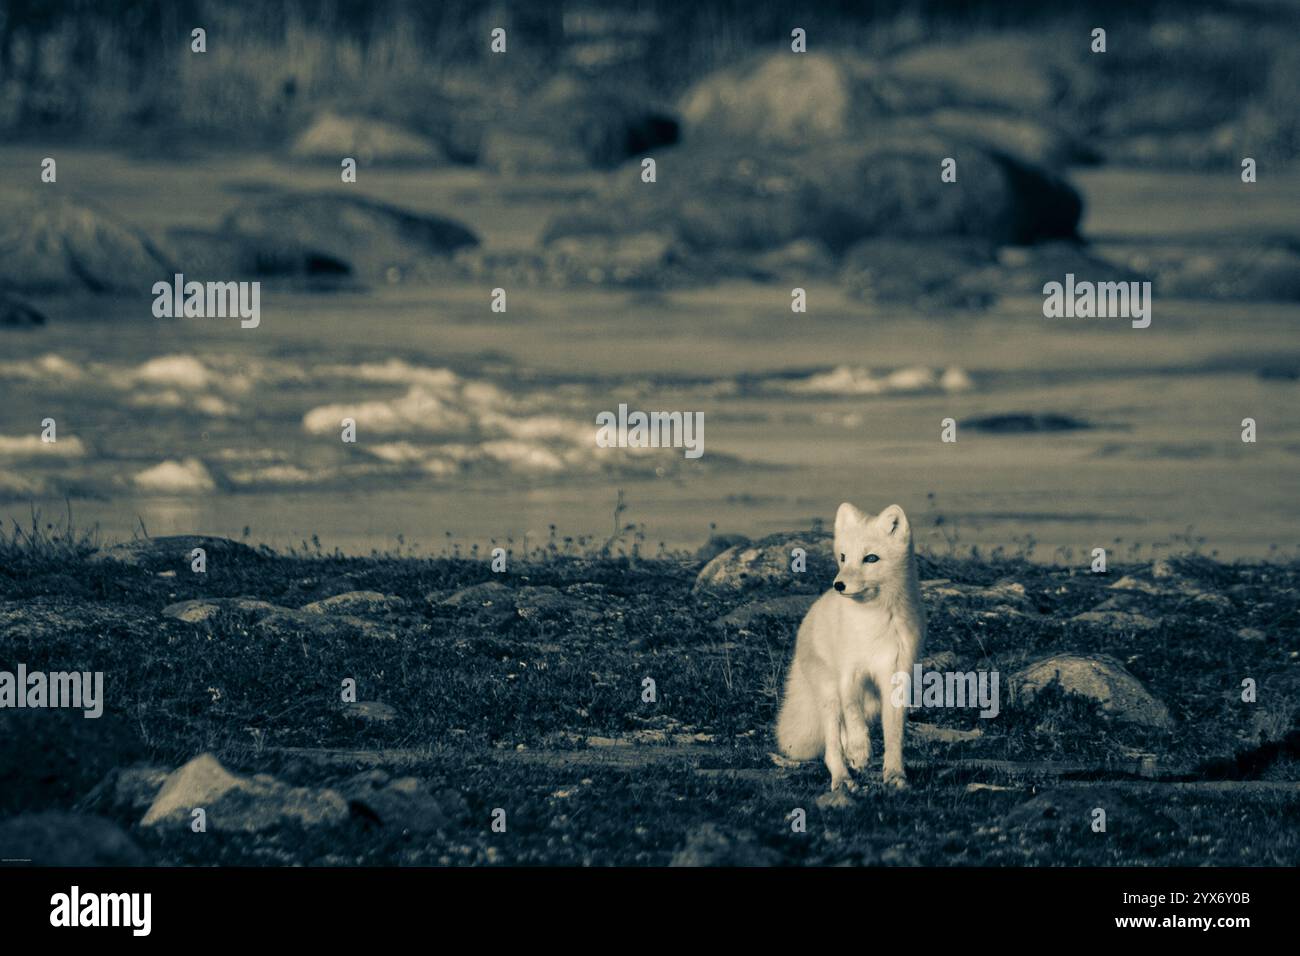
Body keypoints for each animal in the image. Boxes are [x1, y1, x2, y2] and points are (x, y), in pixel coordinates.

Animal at [776, 502, 925, 791]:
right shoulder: (849, 672)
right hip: (828, 693)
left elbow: (894, 735)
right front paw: (859, 749)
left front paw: (895, 774)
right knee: (832, 745)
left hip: (872, 702)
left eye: (871, 558)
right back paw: (842, 777)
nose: (839, 585)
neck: (873, 622)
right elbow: (852, 712)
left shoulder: (895, 675)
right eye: (843, 557)